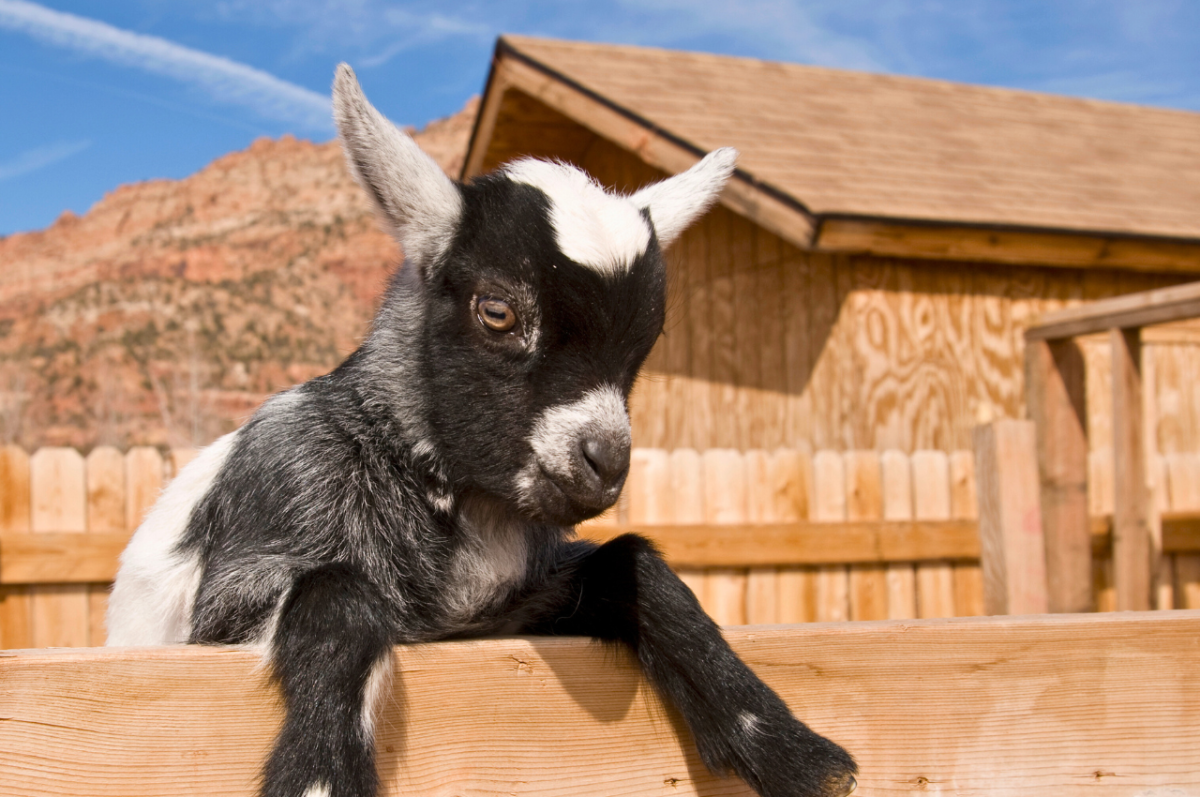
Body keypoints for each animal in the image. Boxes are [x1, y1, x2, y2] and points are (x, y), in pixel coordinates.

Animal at [107, 64, 857, 797]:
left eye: (648, 341)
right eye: (498, 311)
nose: (605, 461)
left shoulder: (492, 620)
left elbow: (635, 564)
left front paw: (790, 750)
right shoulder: (245, 573)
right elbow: (338, 598)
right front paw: (319, 772)